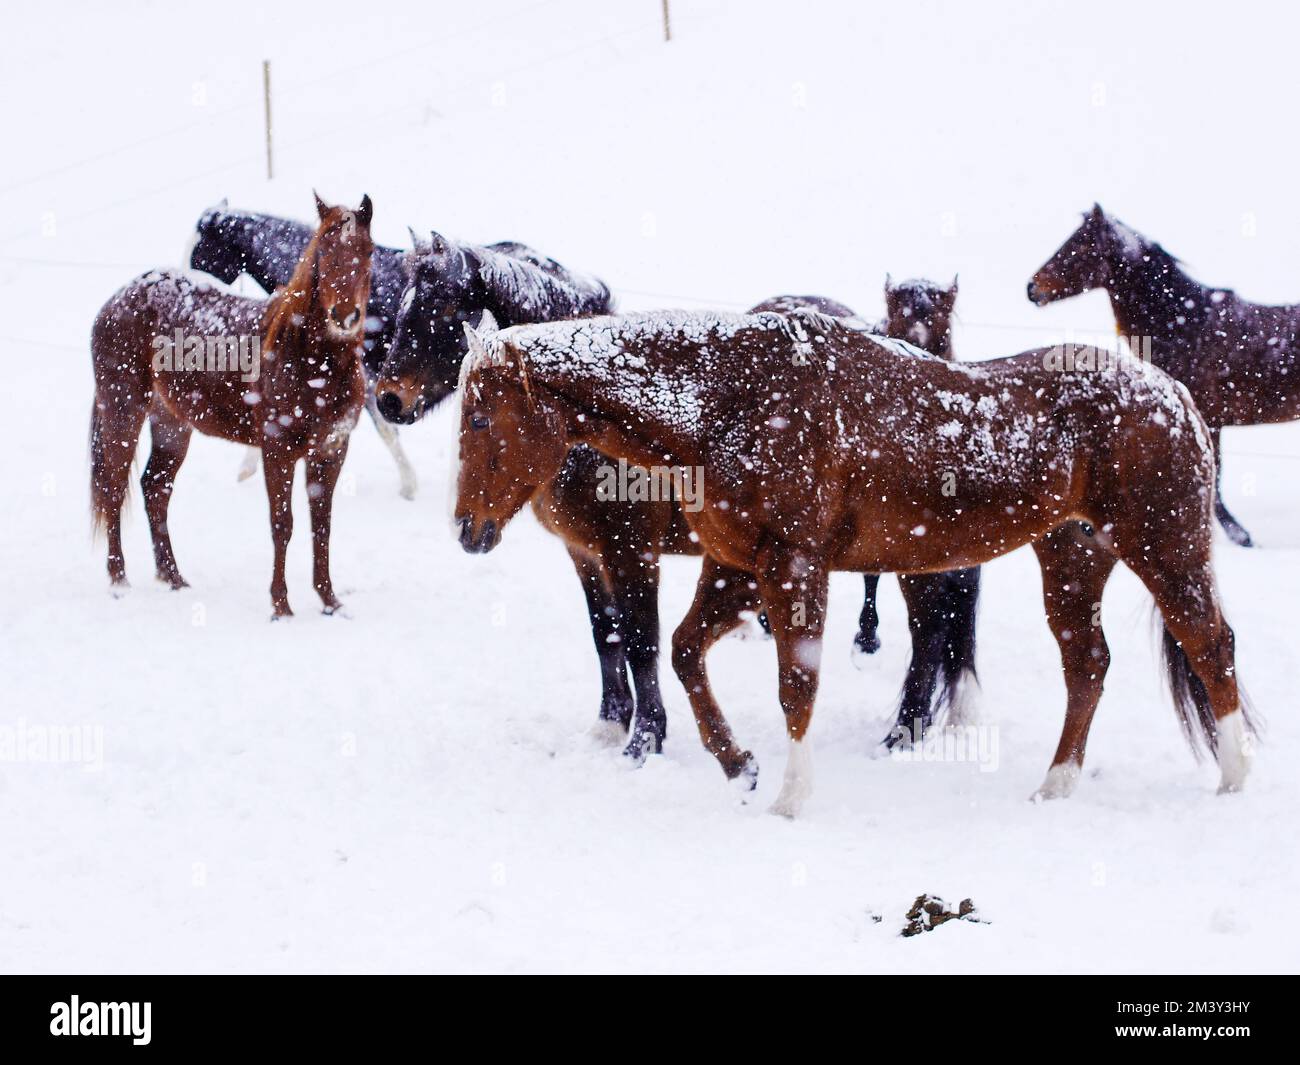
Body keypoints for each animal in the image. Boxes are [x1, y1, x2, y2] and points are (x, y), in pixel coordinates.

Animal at [91, 194, 374, 618]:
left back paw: (174, 577)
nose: (344, 316)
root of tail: (116, 300)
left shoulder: (330, 451)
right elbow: (283, 524)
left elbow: (322, 525)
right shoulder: (277, 450)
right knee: (113, 488)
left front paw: (330, 601)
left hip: (172, 425)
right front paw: (281, 606)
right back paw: (118, 580)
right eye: (324, 252)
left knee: (154, 488)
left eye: (367, 251)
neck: (309, 361)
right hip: (123, 410)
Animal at [451, 309, 1255, 817]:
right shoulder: (734, 567)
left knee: (1210, 644)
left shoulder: (790, 567)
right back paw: (1055, 787)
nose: (465, 530)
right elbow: (681, 652)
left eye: (483, 417)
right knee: (1088, 663)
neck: (731, 400)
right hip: (1074, 557)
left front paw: (789, 797)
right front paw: (738, 764)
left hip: (1165, 549)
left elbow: (795, 685)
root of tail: (1176, 397)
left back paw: (1234, 780)